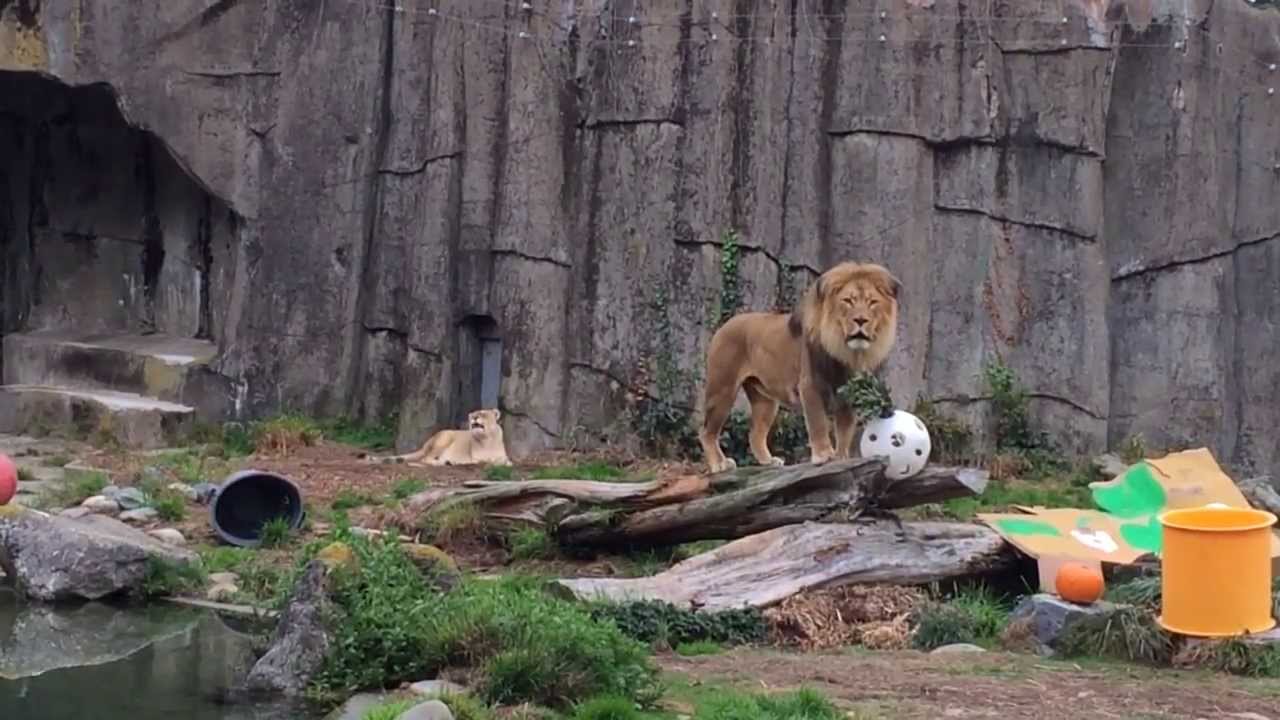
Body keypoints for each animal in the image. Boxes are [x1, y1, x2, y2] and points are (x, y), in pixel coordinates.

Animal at [368, 408, 513, 467]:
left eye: (482, 413)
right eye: (473, 415)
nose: (474, 418)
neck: (488, 439)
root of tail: (426, 444)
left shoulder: (503, 455)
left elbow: (506, 461)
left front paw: (507, 463)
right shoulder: (477, 457)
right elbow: (488, 461)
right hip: (445, 438)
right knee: (426, 459)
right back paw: (445, 462)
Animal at [698, 261, 901, 474]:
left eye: (872, 302)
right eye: (848, 301)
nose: (861, 320)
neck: (845, 351)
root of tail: (725, 324)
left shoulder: (848, 393)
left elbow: (845, 430)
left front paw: (842, 457)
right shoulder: (810, 385)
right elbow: (818, 422)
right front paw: (824, 455)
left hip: (765, 401)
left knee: (754, 434)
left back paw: (768, 461)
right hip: (723, 389)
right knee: (706, 431)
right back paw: (719, 464)